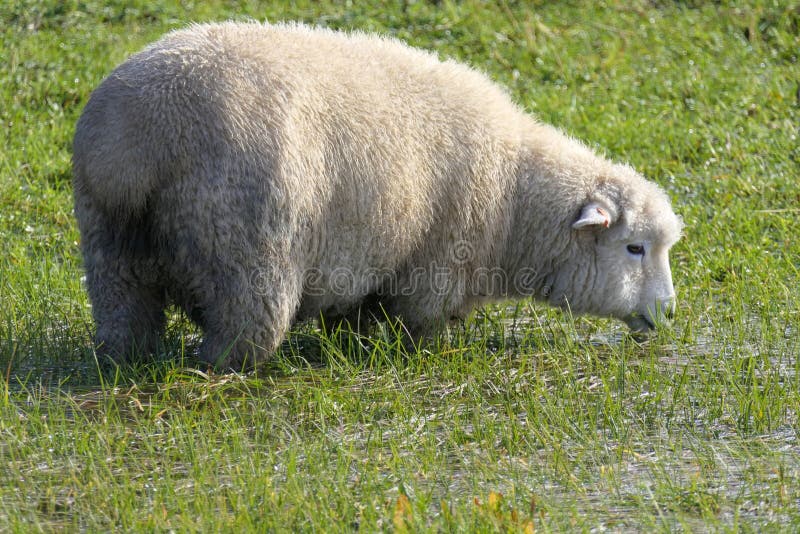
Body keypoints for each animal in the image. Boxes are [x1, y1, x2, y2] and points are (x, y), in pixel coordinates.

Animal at [72, 21, 683, 369]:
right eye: (634, 248)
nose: (669, 313)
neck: (511, 199)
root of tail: (144, 134)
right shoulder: (434, 264)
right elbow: (420, 325)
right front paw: (420, 352)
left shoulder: (368, 258)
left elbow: (352, 315)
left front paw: (352, 344)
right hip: (246, 243)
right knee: (244, 325)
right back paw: (227, 369)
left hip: (110, 237)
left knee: (124, 310)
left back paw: (125, 362)